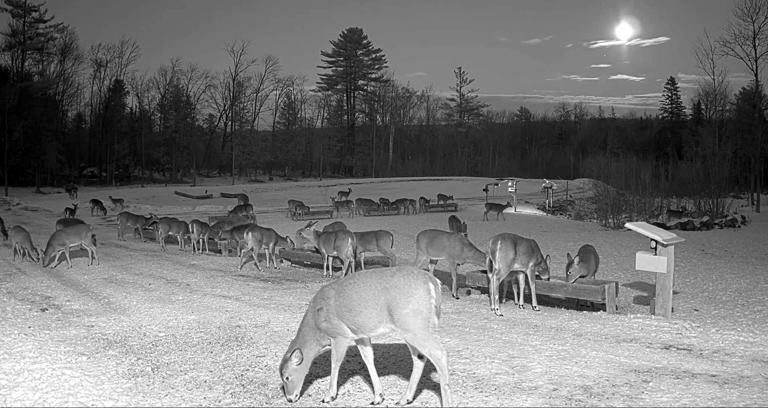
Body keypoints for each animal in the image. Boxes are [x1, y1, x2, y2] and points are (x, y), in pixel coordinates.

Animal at [279, 265, 451, 407]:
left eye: (286, 377)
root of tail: (433, 282)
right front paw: (378, 397)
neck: (316, 324)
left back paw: (446, 402)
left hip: (413, 324)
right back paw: (404, 399)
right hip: (412, 327)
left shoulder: (339, 335)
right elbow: (368, 359)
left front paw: (329, 396)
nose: (290, 398)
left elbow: (335, 362)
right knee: (420, 357)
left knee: (439, 353)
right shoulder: (360, 335)